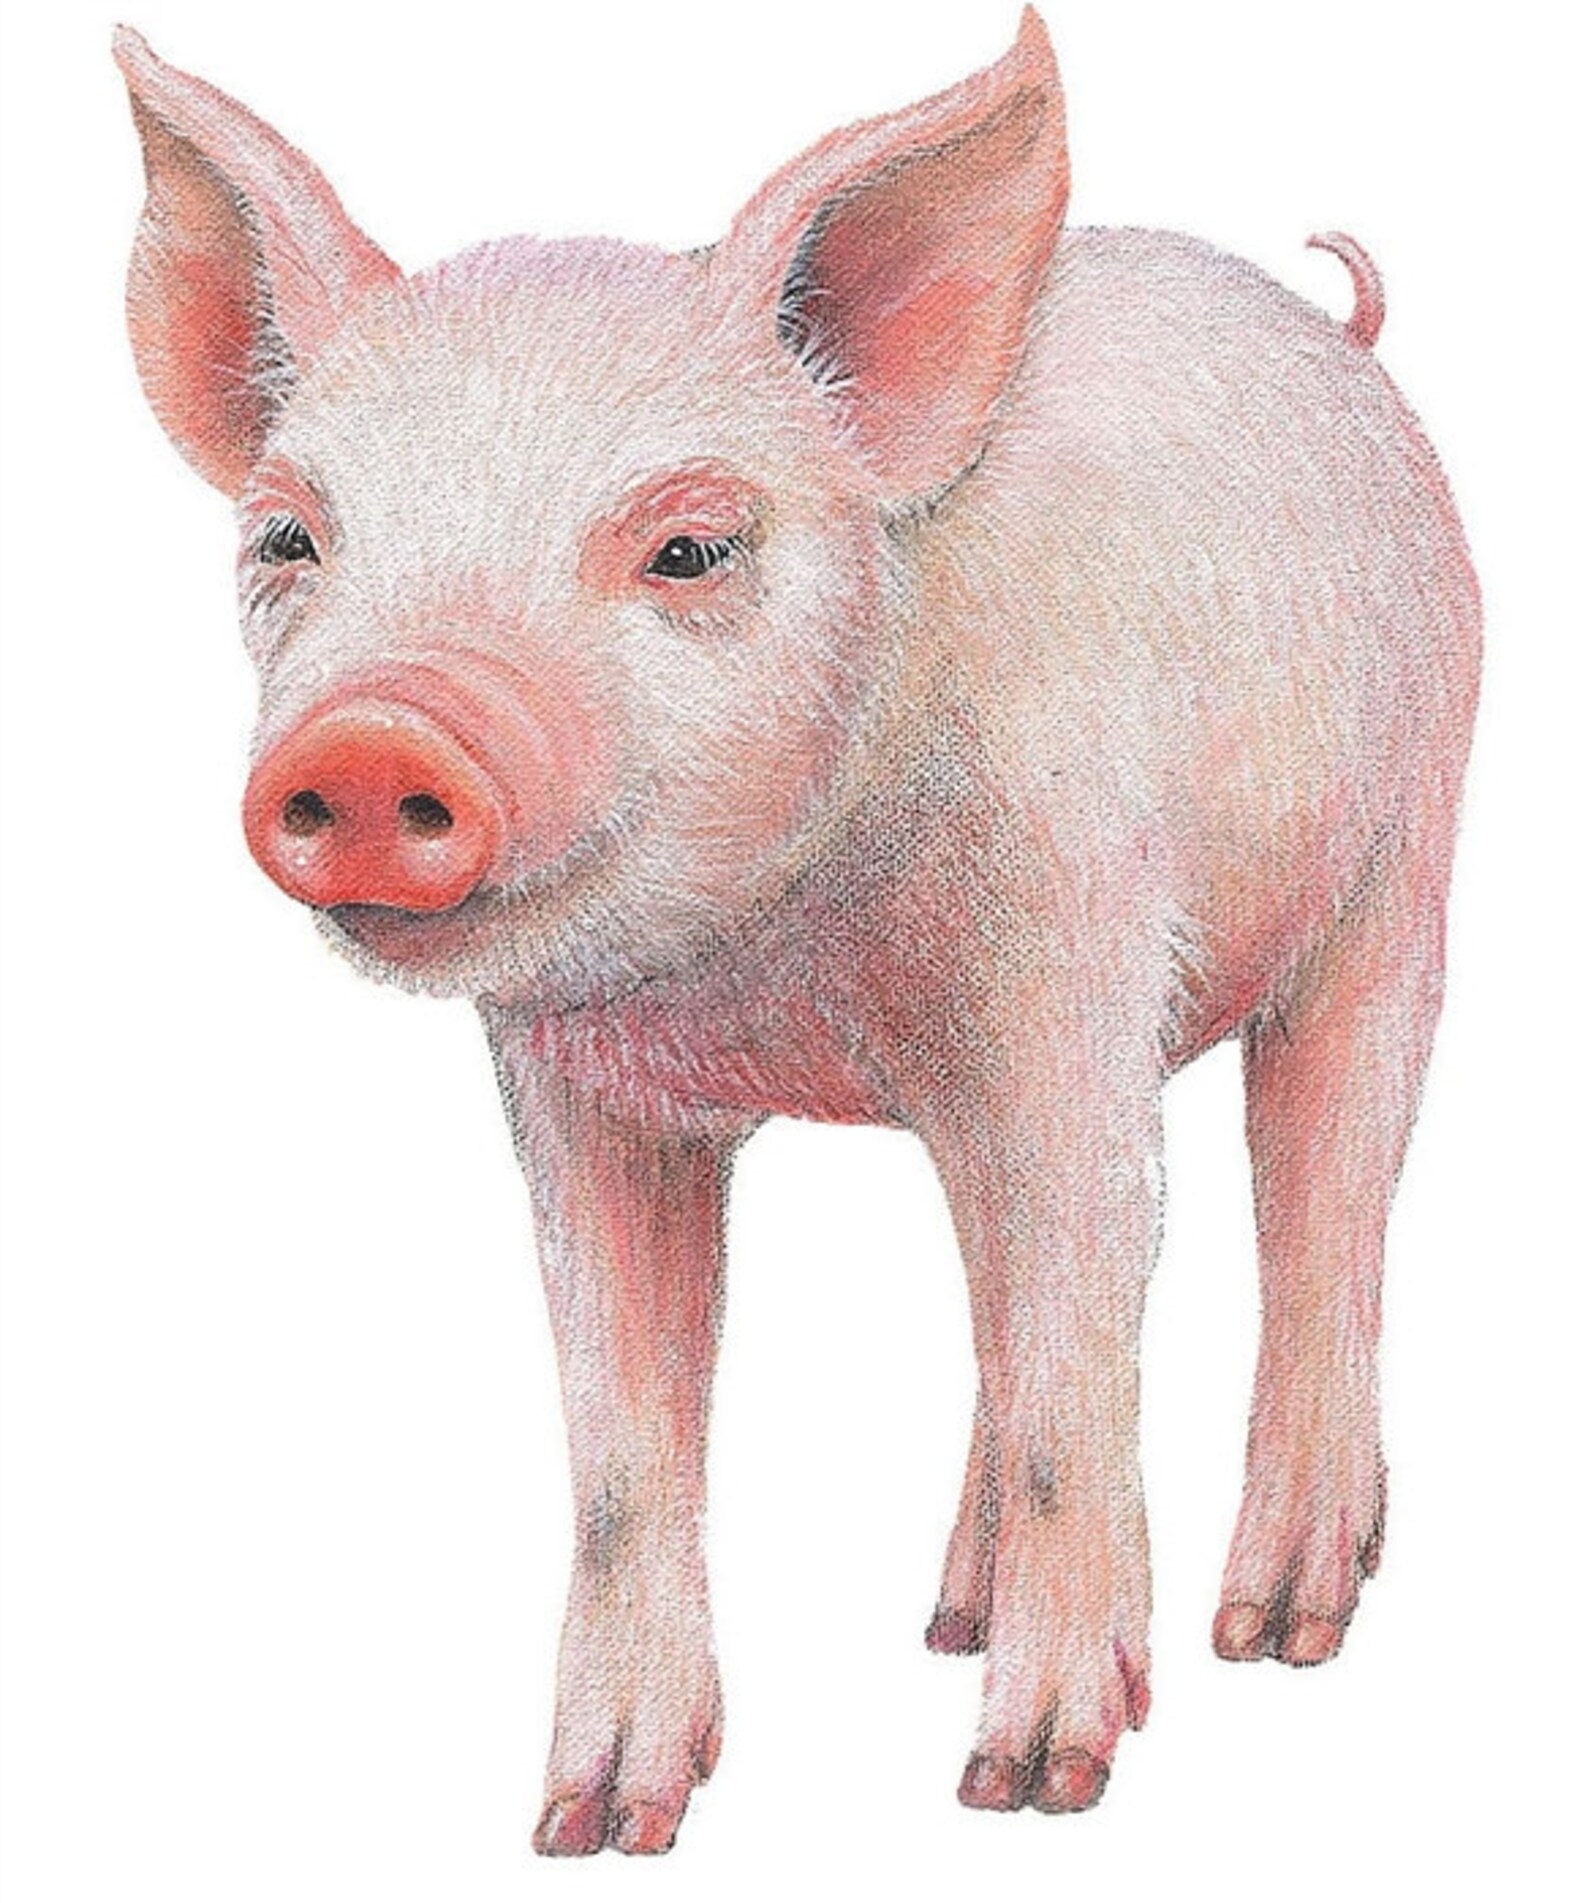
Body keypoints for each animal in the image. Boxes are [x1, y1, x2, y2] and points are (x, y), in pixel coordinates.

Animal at [115, 8, 1480, 1855]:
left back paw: (1275, 1626)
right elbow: (622, 1436)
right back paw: (951, 1613)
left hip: (1406, 847)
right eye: (288, 537)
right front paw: (592, 1823)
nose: (381, 731)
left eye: (690, 546)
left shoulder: (1066, 979)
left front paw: (1026, 1787)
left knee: (1323, 1206)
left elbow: (1080, 1362)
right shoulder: (575, 1082)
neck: (776, 986)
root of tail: (1336, 336)